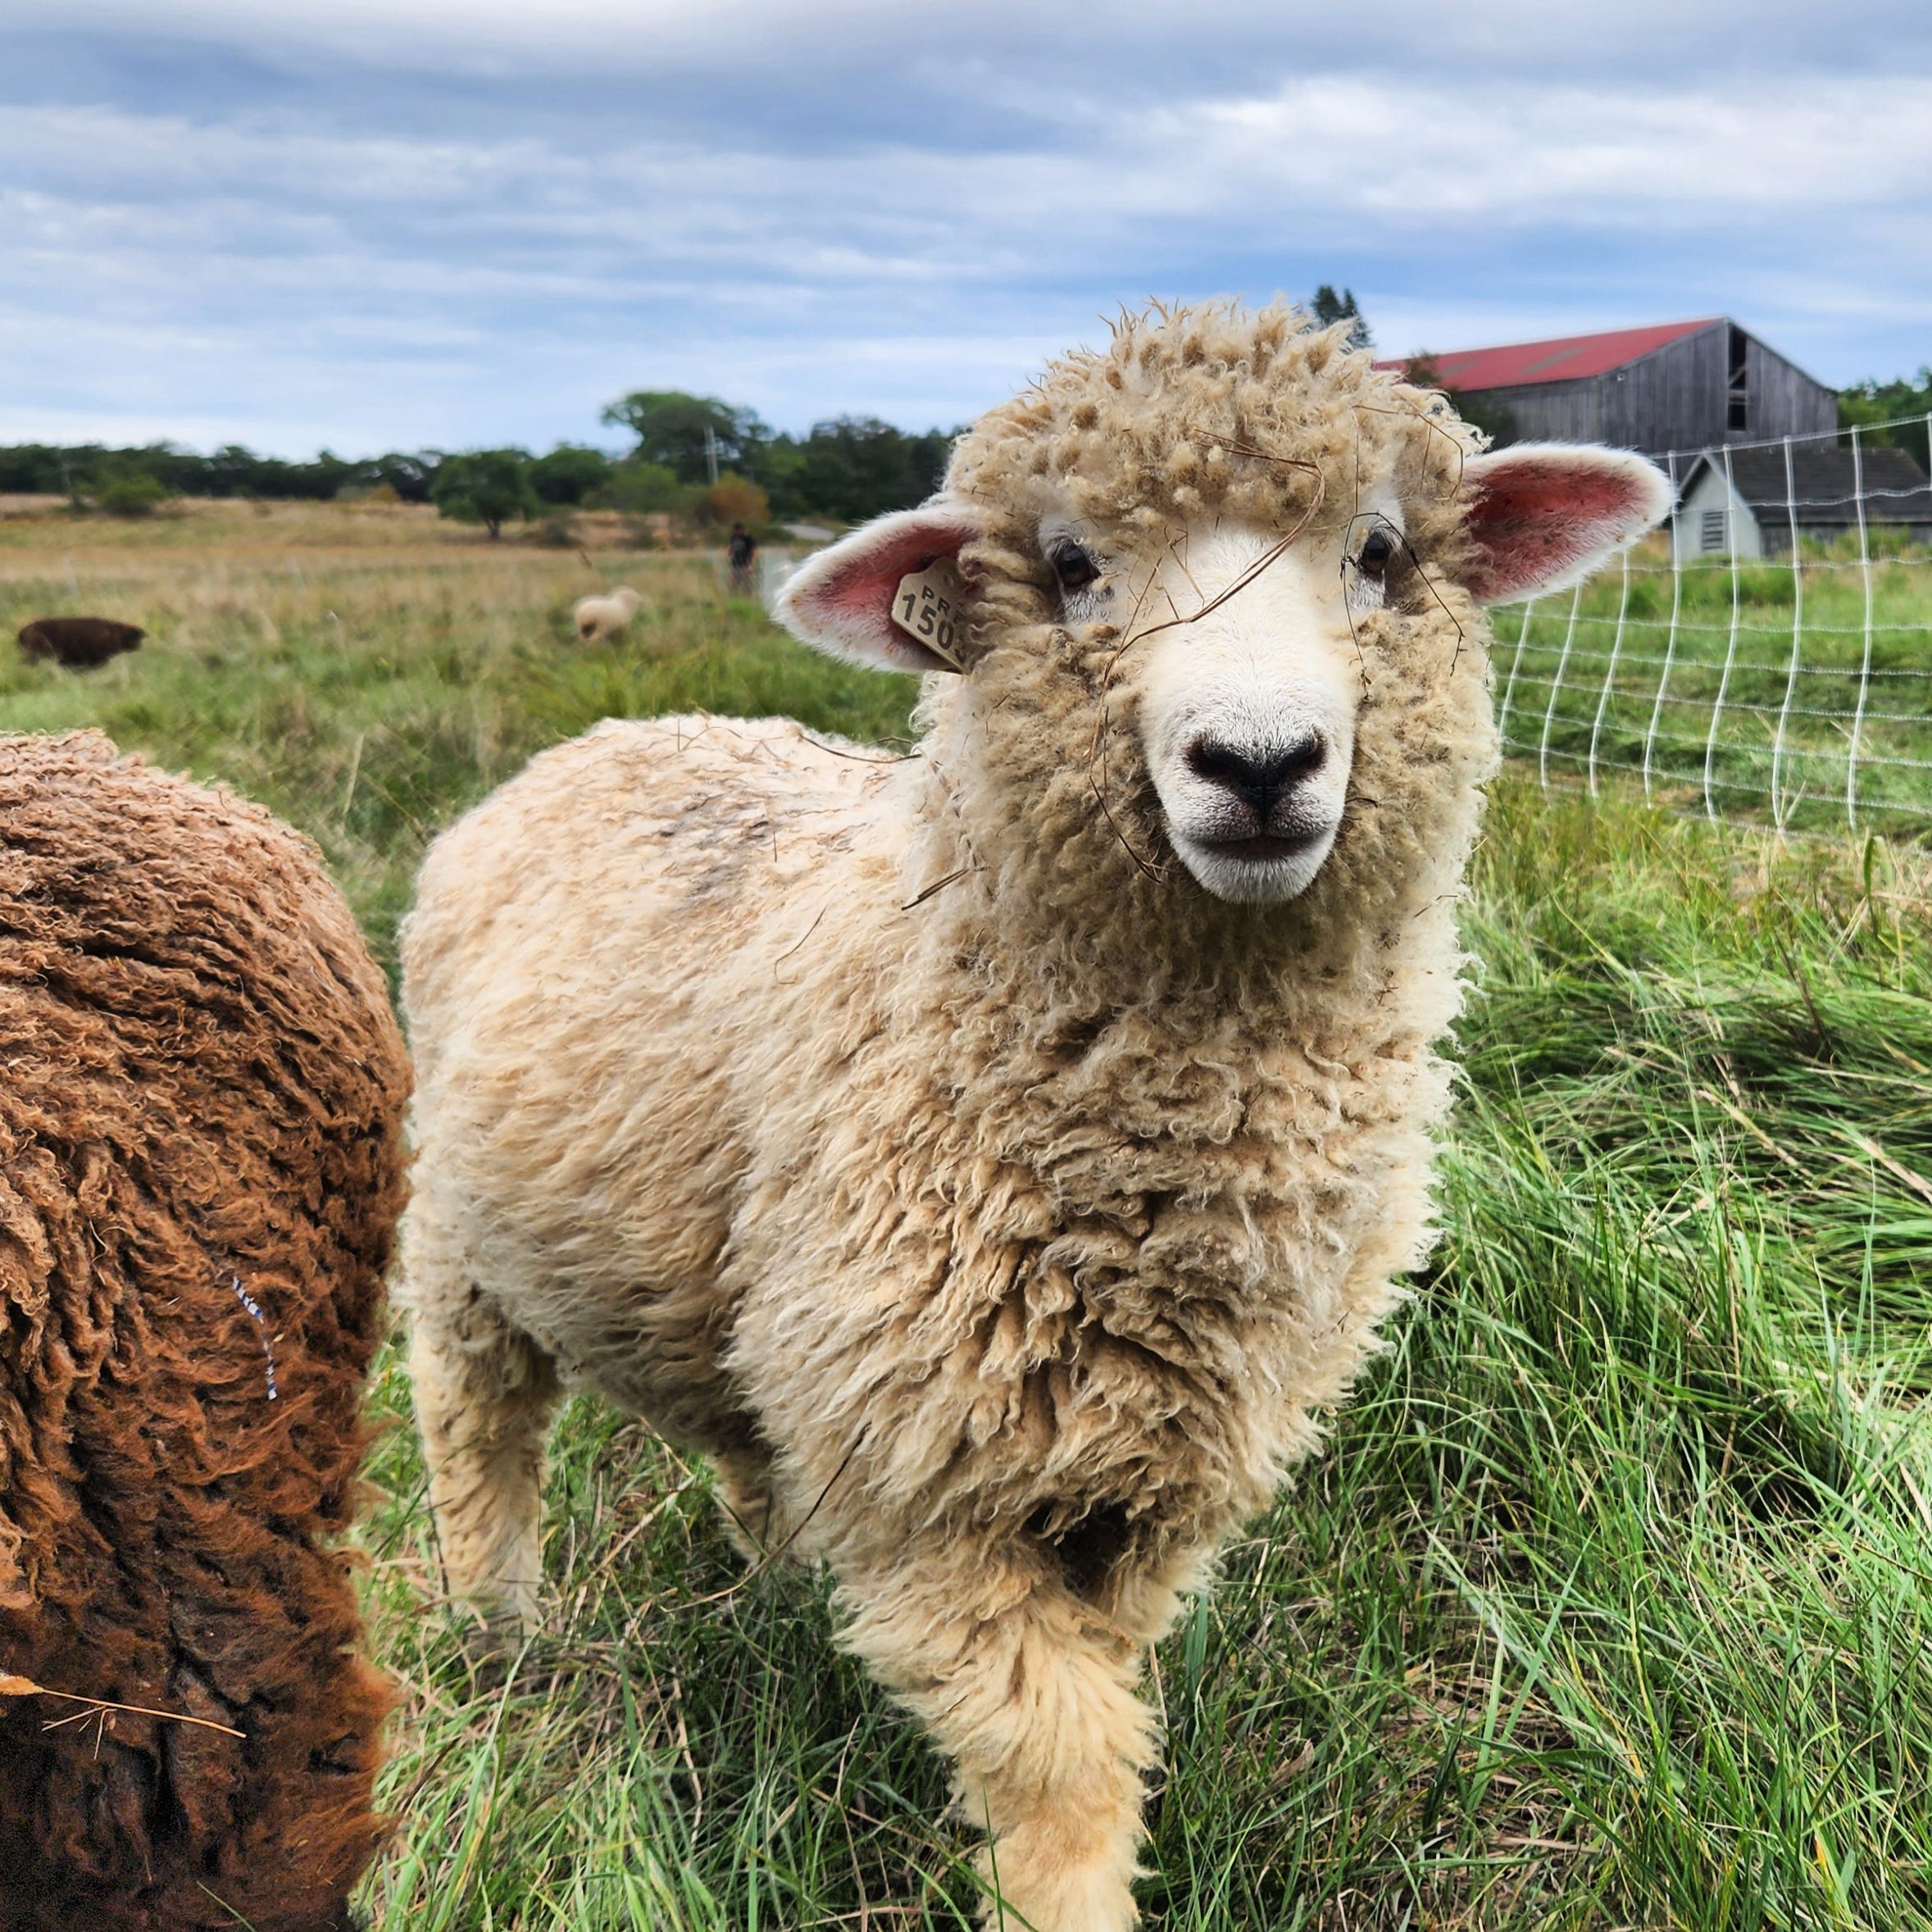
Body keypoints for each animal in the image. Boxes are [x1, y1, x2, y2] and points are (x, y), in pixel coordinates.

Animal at [398, 302, 1670, 1931]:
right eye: (1071, 567)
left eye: (1379, 550)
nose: (1259, 764)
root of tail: (616, 729)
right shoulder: (927, 1476)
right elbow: (1054, 1756)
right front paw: (1068, 1896)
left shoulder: (1155, 1475)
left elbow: (1105, 1686)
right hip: (462, 1251)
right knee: (477, 1434)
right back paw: (497, 1636)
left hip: (757, 1311)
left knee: (746, 1444)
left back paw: (769, 1595)